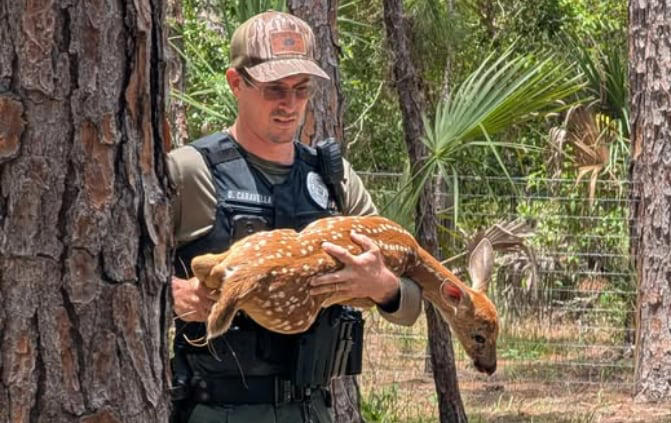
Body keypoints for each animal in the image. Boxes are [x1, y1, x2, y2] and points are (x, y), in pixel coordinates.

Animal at [191, 215, 499, 375]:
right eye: (479, 336)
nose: (490, 367)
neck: (414, 254)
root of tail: (249, 273)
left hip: (250, 243)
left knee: (202, 264)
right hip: (293, 315)